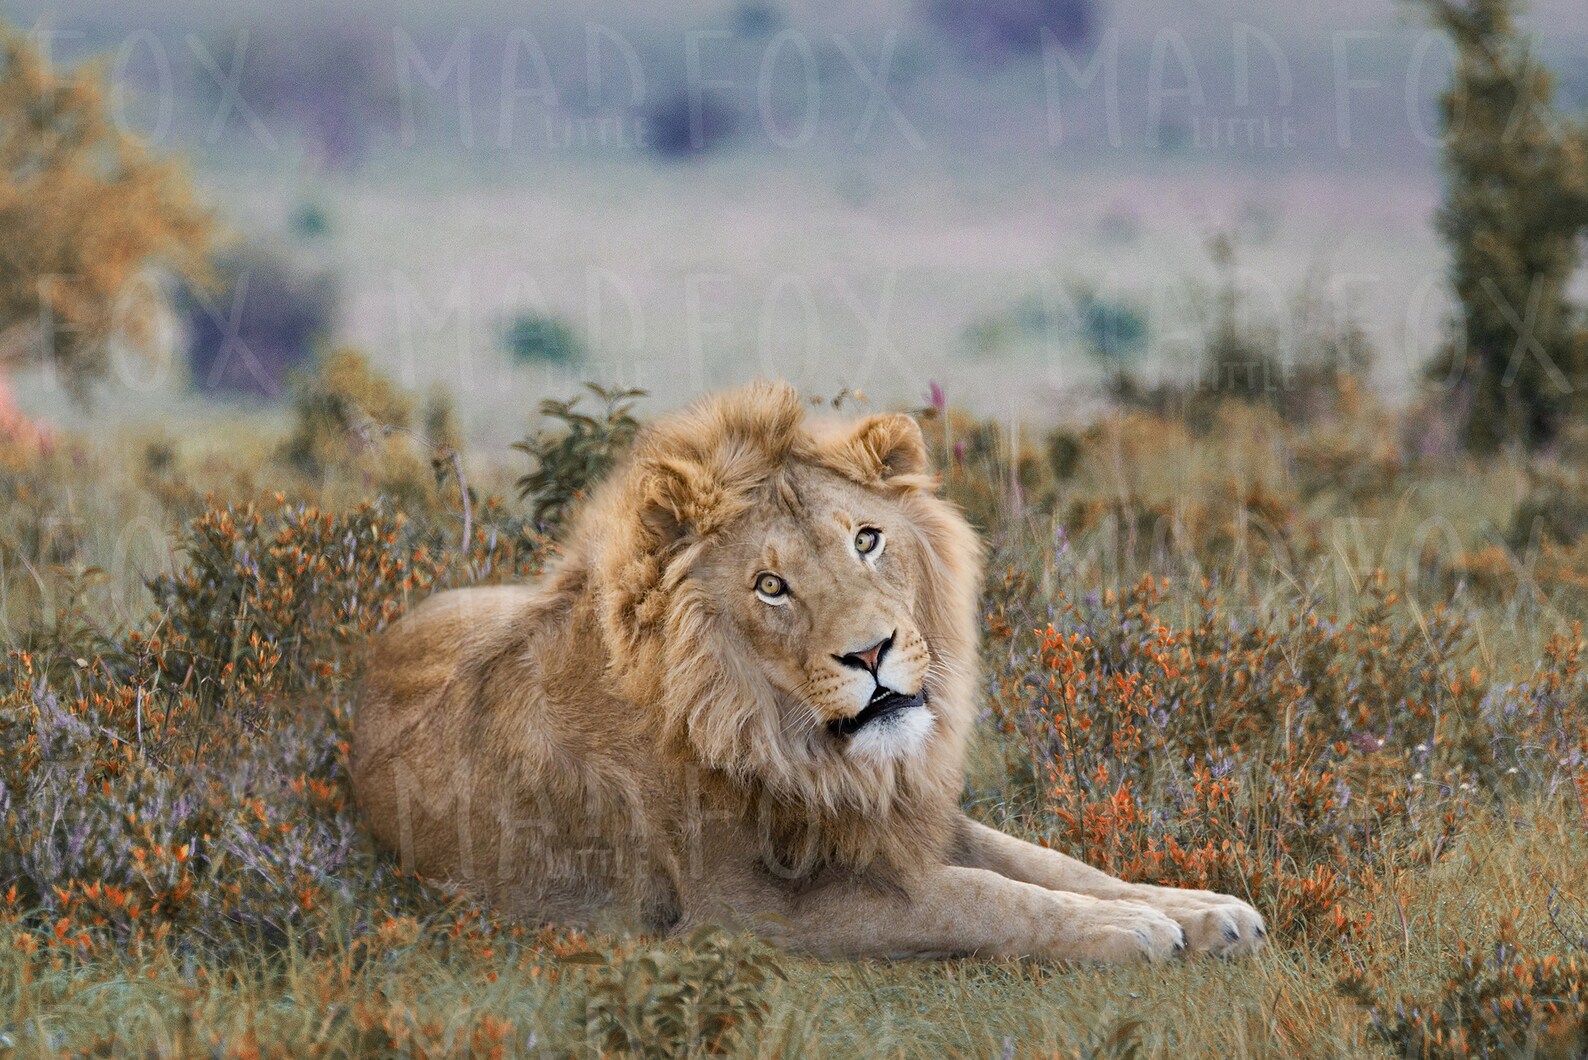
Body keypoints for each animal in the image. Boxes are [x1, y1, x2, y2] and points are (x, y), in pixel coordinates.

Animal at [350, 382, 1266, 962]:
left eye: (867, 538)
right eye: (770, 586)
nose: (871, 652)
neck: (796, 746)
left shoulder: (903, 817)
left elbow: (1051, 864)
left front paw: (1205, 909)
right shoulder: (754, 912)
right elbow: (975, 895)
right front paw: (1133, 929)